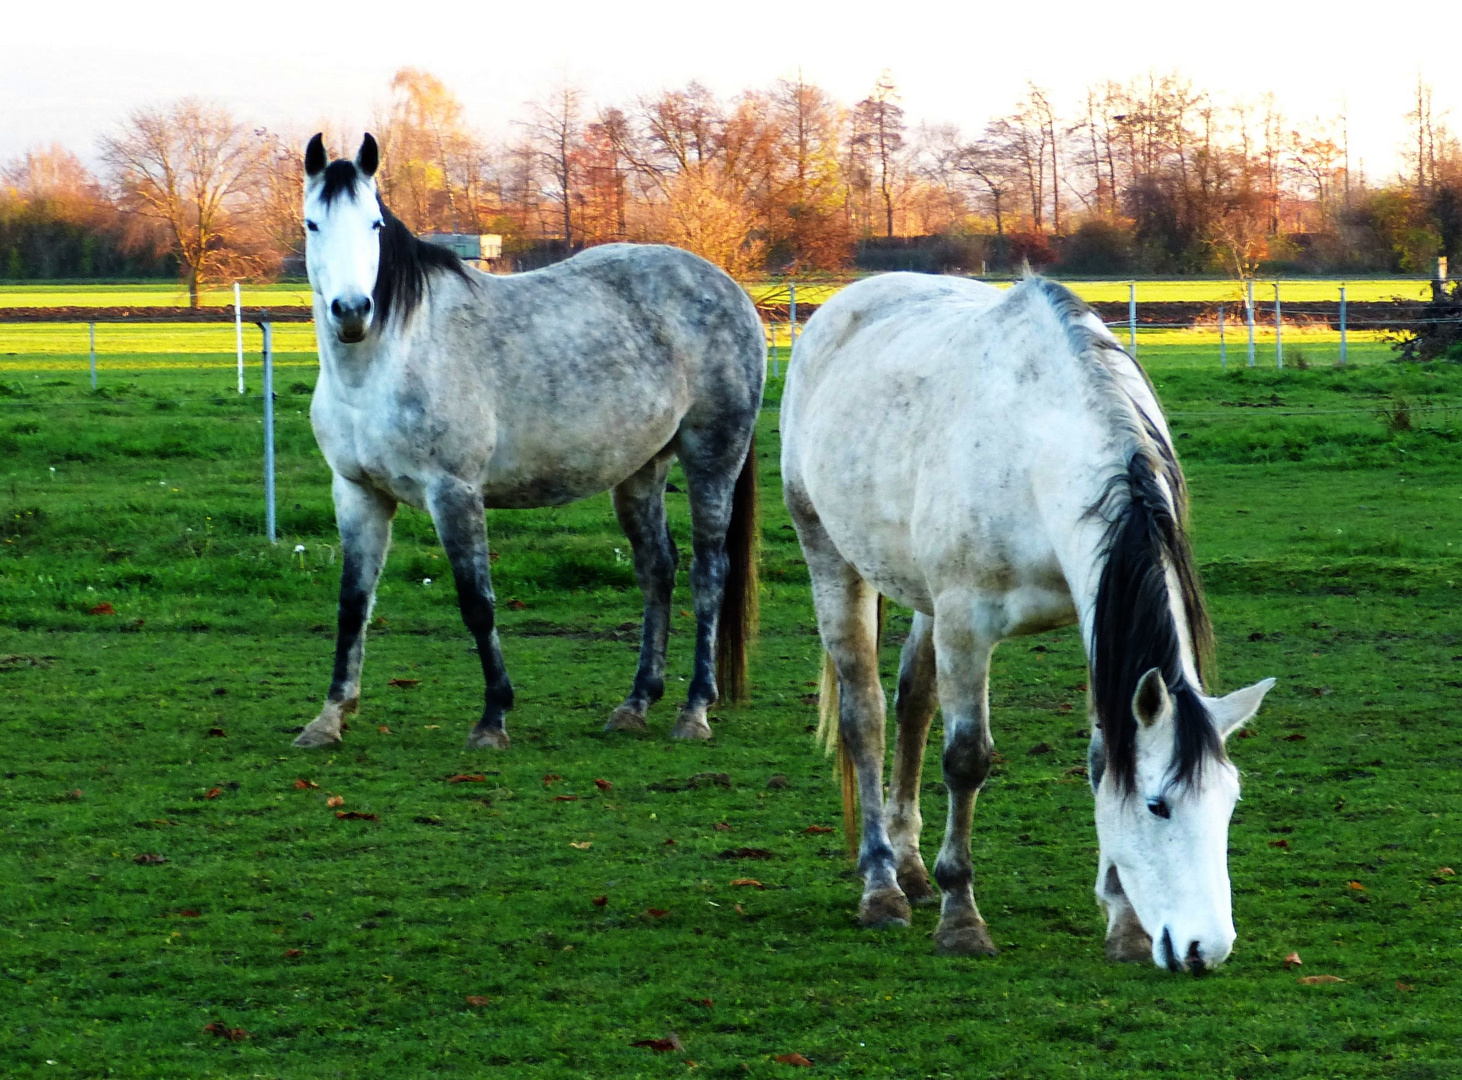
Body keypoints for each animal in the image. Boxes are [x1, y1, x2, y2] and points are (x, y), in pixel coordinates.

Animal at [292, 134, 765, 751]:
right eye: (312, 224)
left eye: (374, 224)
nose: (352, 310)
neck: (390, 358)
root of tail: (728, 286)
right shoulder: (356, 492)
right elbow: (352, 604)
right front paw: (329, 717)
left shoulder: (454, 492)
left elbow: (477, 603)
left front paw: (493, 718)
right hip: (641, 469)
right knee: (656, 569)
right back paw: (636, 703)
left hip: (713, 457)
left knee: (708, 573)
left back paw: (695, 710)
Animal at [780, 273, 1275, 973]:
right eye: (1159, 806)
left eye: (1229, 803)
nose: (1206, 948)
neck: (1041, 443)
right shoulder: (966, 622)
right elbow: (966, 760)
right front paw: (962, 921)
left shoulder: (1093, 618)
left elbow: (1102, 758)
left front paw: (1123, 923)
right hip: (831, 559)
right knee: (865, 716)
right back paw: (882, 886)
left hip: (924, 599)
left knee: (913, 701)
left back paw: (910, 868)